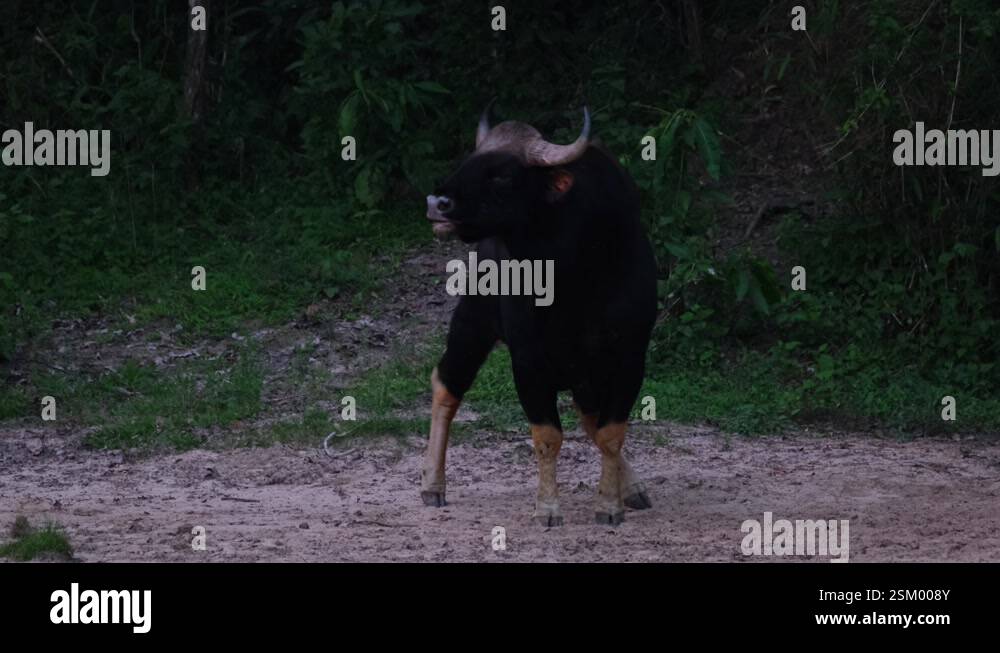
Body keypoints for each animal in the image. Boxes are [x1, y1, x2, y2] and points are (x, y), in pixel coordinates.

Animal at [422, 105, 657, 526]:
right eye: (469, 160)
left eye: (502, 174)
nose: (438, 203)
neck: (576, 272)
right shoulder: (528, 359)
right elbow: (548, 436)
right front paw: (547, 508)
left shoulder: (630, 356)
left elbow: (611, 433)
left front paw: (609, 504)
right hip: (473, 320)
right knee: (447, 385)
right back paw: (433, 484)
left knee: (591, 421)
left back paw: (631, 486)